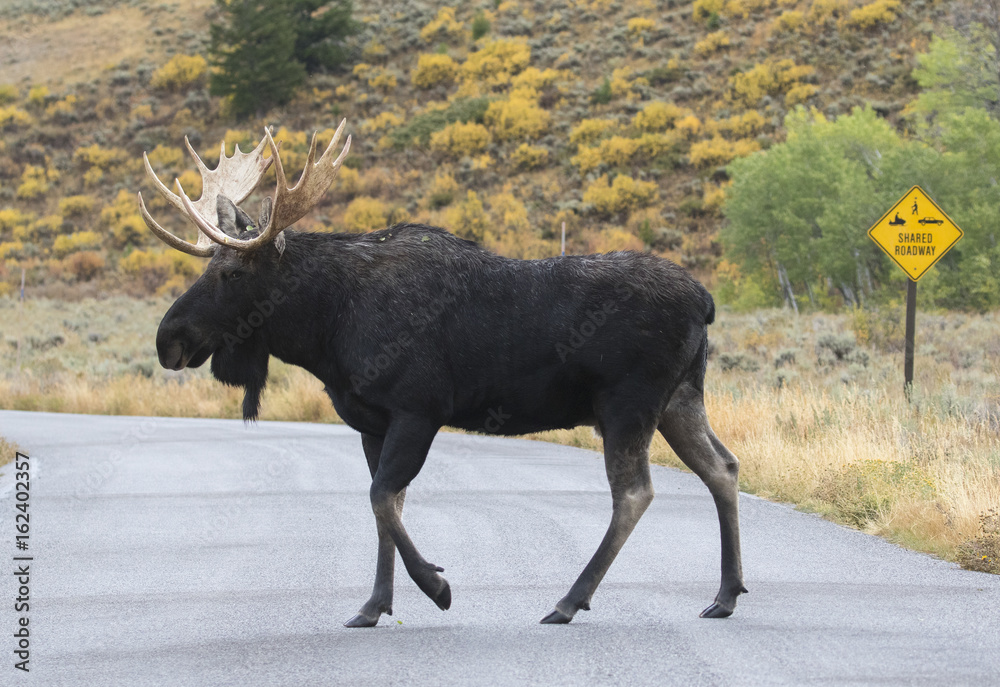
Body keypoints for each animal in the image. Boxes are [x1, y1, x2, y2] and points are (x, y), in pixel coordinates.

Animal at [138, 120, 747, 627]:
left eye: (233, 272)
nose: (169, 339)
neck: (326, 328)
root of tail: (706, 300)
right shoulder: (371, 421)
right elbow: (386, 503)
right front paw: (373, 606)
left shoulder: (417, 408)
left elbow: (382, 497)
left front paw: (435, 587)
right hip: (680, 398)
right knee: (723, 467)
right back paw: (725, 594)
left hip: (629, 402)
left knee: (635, 492)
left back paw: (570, 600)